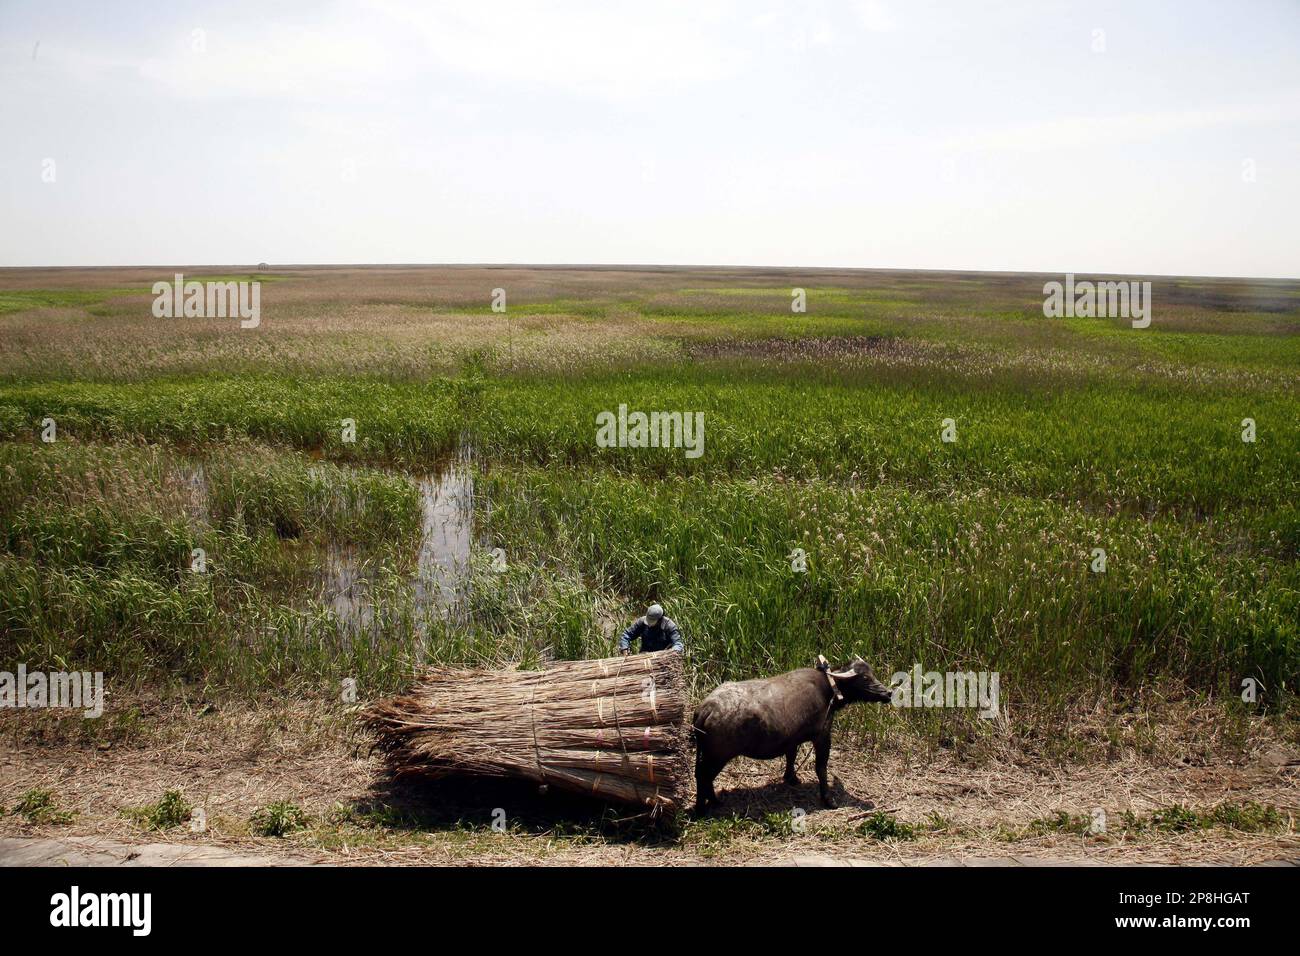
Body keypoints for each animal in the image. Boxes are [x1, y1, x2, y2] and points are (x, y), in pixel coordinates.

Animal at [692, 658, 892, 811]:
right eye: (865, 677)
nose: (888, 693)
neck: (828, 690)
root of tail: (705, 709)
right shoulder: (822, 736)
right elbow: (821, 768)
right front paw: (828, 799)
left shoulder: (792, 740)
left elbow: (791, 756)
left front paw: (791, 778)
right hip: (717, 756)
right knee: (703, 776)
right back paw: (705, 807)